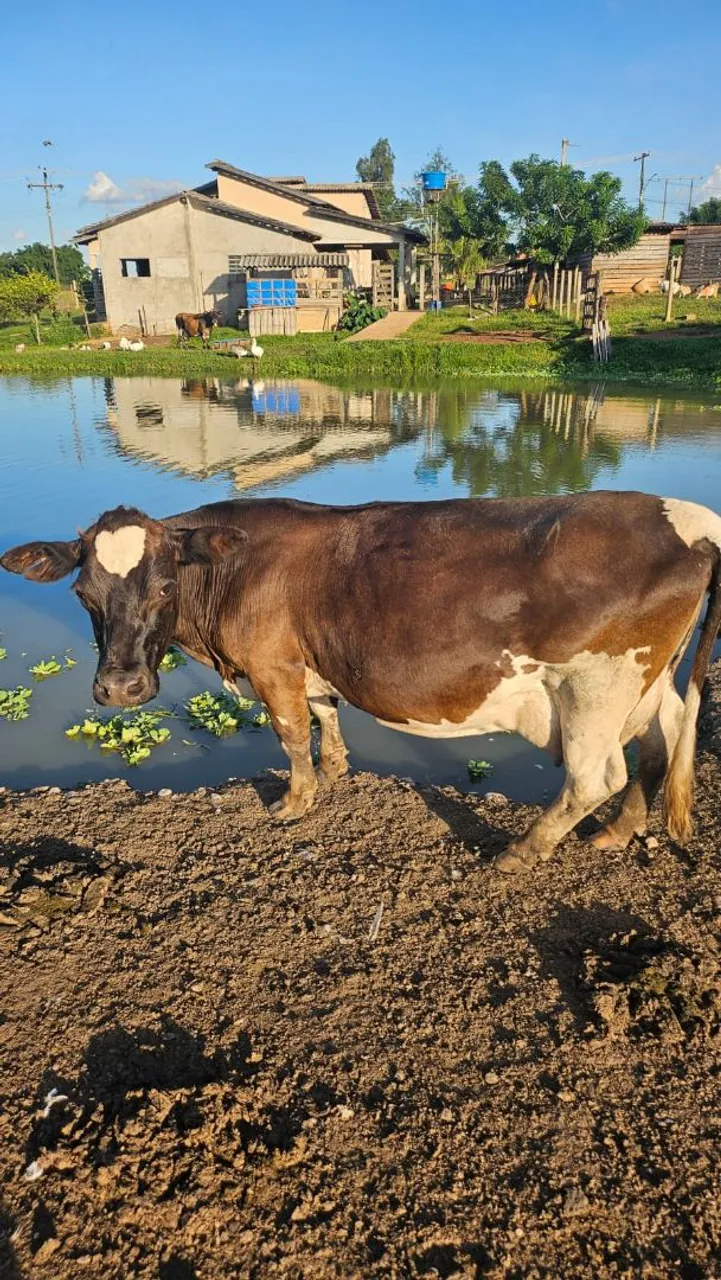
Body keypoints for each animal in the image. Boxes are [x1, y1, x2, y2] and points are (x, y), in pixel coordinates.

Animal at [3, 492, 721, 875]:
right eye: (83, 594)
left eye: (160, 587)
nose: (120, 689)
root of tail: (692, 519)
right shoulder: (308, 661)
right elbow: (325, 714)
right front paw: (337, 769)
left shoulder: (272, 665)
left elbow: (291, 733)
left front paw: (295, 800)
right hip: (645, 680)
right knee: (658, 745)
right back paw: (617, 832)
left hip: (596, 684)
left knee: (595, 776)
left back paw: (523, 849)